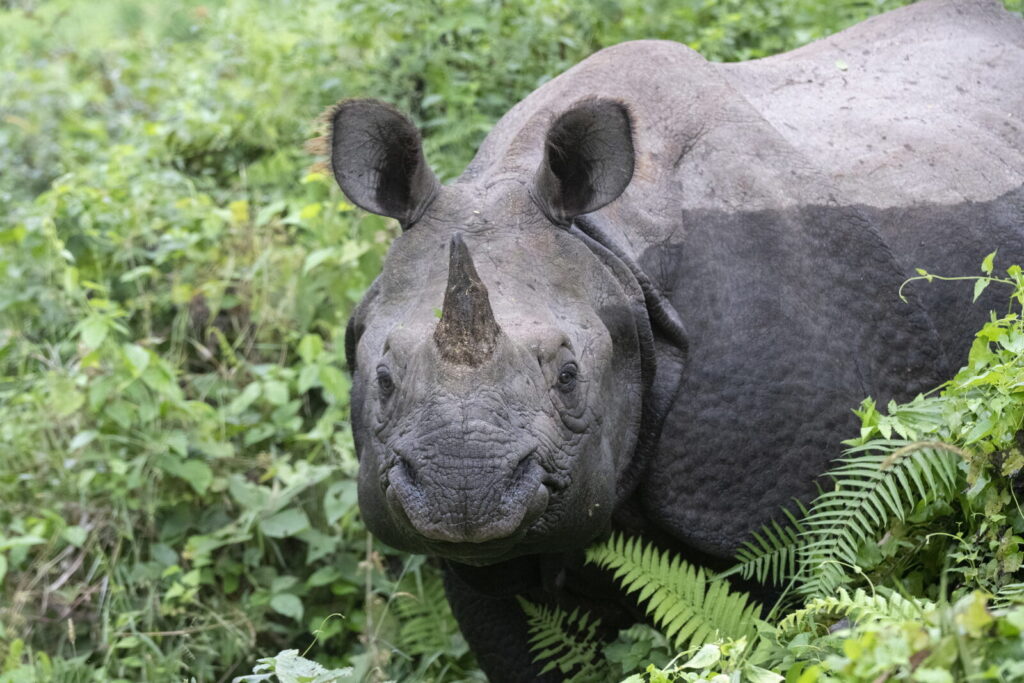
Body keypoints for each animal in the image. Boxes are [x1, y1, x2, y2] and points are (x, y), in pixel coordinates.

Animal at [323, 0, 1024, 679]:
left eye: (569, 377)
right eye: (381, 379)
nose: (463, 491)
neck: (609, 245)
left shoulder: (795, 515)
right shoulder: (480, 561)